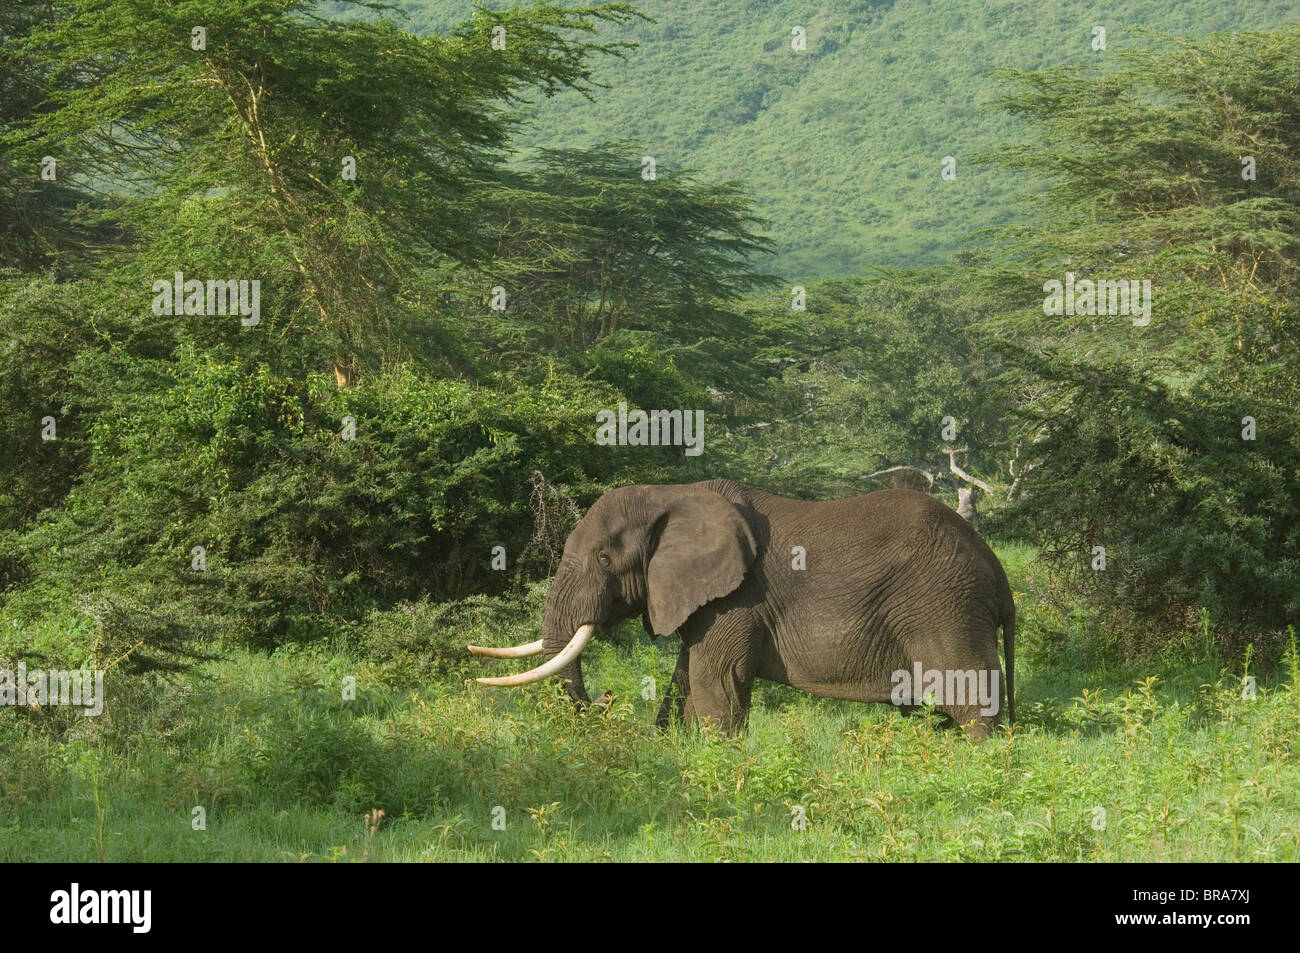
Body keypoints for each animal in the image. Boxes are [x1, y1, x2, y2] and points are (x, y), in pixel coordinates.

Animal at [470, 479, 1015, 739]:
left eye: (604, 559)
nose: (606, 698)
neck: (674, 495)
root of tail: (995, 566)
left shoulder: (737, 597)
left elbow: (715, 681)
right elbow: (686, 678)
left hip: (944, 603)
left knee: (967, 695)